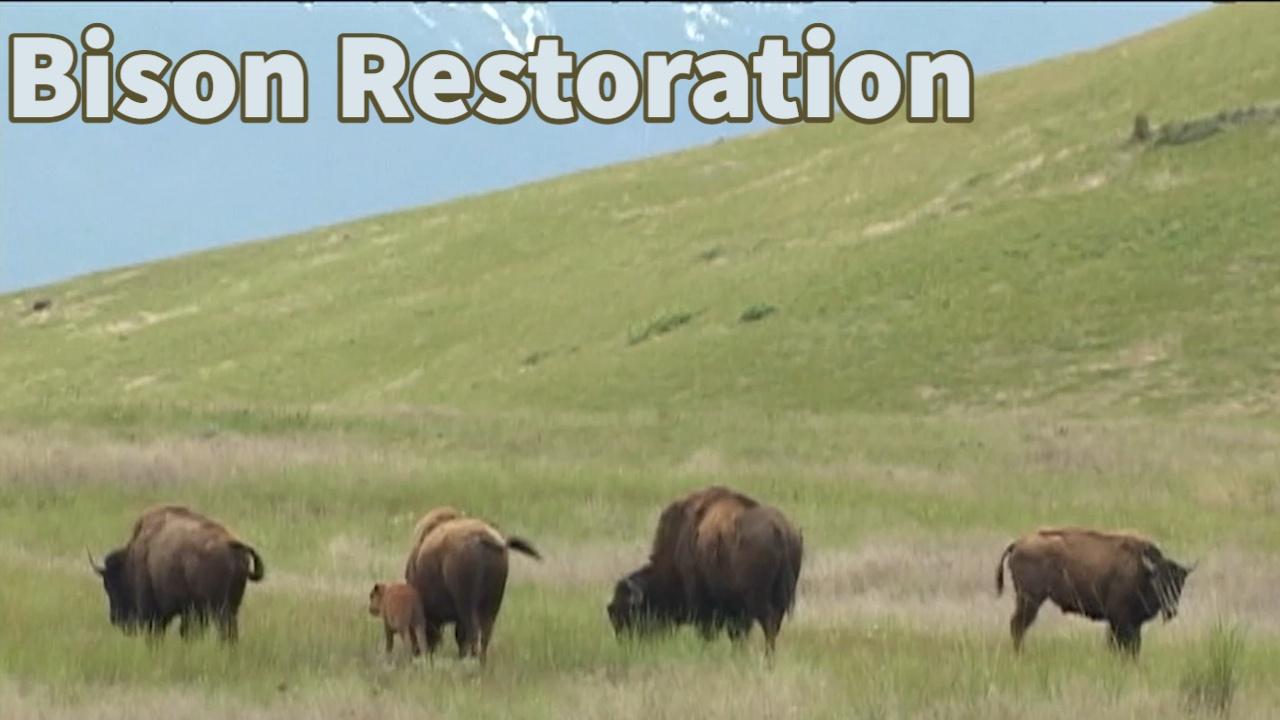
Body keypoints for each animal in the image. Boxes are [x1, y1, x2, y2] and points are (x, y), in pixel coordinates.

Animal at [403, 507, 541, 663]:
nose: (417, 652)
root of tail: (484, 537)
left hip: (468, 606)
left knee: (473, 634)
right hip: (492, 606)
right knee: (484, 636)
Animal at [608, 485, 803, 654]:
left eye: (630, 614)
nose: (625, 644)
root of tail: (779, 529)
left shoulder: (705, 608)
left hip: (758, 598)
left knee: (769, 624)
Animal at [995, 526, 1195, 655]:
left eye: (1180, 584)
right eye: (1158, 581)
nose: (1171, 610)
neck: (1143, 571)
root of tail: (1017, 543)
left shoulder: (1131, 623)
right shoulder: (1120, 620)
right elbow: (1120, 644)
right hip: (1030, 600)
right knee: (1017, 626)